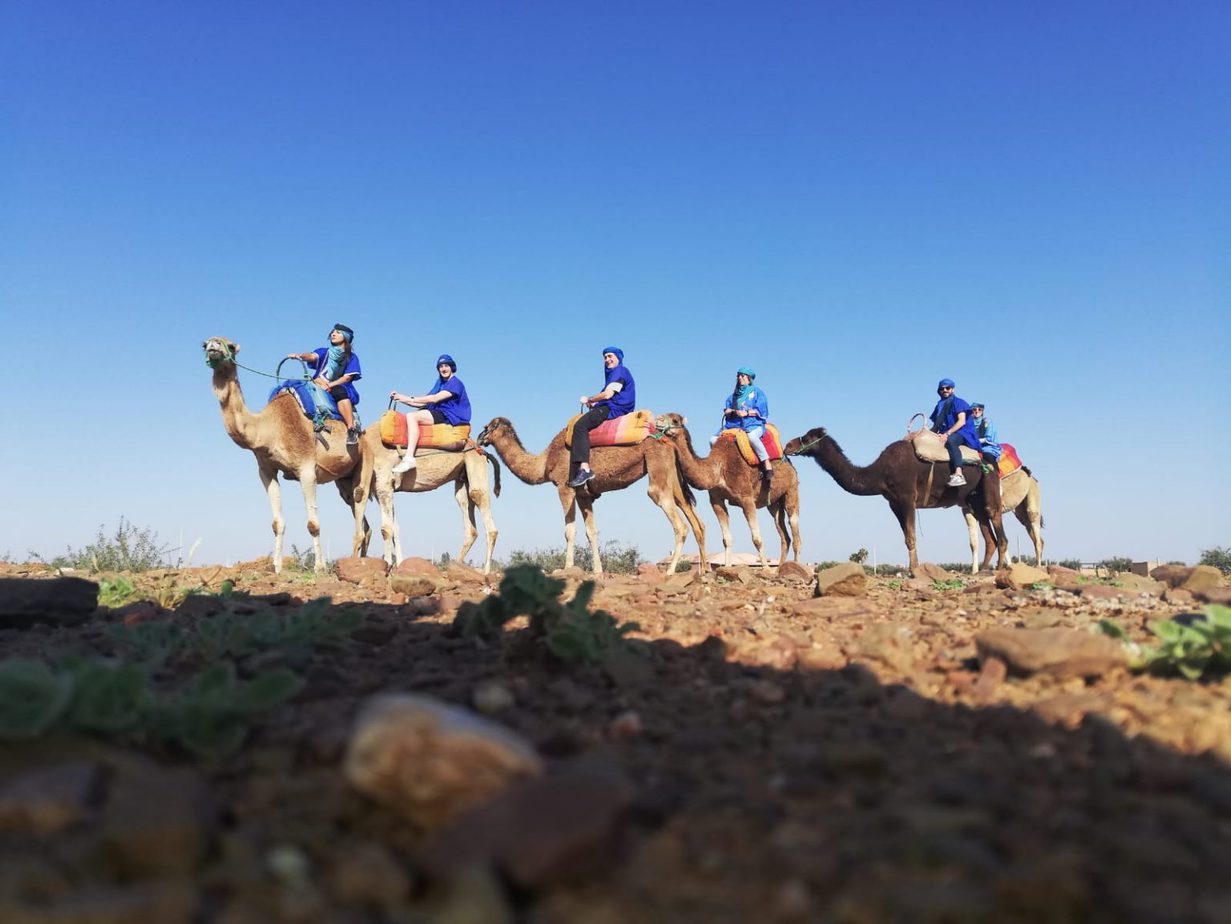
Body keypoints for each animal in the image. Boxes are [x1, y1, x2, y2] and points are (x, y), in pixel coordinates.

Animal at [203, 337, 368, 573]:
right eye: (204, 344)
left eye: (231, 346)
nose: (213, 346)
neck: (269, 428)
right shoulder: (266, 470)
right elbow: (277, 523)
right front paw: (276, 567)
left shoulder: (307, 469)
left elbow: (313, 524)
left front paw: (319, 568)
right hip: (343, 480)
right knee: (363, 521)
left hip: (364, 463)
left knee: (360, 509)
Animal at [352, 428, 502, 573]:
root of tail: (483, 451)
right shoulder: (381, 489)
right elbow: (395, 528)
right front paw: (398, 566)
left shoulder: (384, 482)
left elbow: (386, 529)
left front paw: (388, 565)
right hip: (462, 478)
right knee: (468, 515)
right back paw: (456, 567)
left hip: (475, 466)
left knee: (483, 507)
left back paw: (485, 572)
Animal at [476, 417, 707, 575]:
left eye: (488, 426)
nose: (479, 438)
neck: (545, 461)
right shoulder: (583, 495)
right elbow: (591, 532)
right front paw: (597, 570)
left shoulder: (565, 487)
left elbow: (569, 531)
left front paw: (567, 568)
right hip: (672, 475)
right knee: (692, 515)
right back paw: (703, 571)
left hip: (657, 471)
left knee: (679, 523)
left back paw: (670, 571)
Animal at [654, 413, 802, 568]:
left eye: (675, 420)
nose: (658, 419)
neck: (719, 469)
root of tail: (790, 465)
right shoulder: (716, 500)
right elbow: (727, 539)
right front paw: (727, 567)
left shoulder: (747, 498)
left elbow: (757, 539)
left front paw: (766, 569)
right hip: (774, 502)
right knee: (784, 534)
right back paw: (780, 568)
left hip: (791, 489)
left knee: (794, 529)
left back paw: (795, 565)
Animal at [784, 426, 1008, 575]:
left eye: (808, 436)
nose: (788, 445)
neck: (880, 473)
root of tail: (989, 459)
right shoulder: (894, 503)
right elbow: (907, 536)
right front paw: (914, 569)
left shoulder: (907, 498)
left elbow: (911, 536)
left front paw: (913, 571)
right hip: (973, 499)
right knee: (989, 534)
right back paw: (982, 571)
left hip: (989, 485)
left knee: (997, 524)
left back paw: (998, 569)